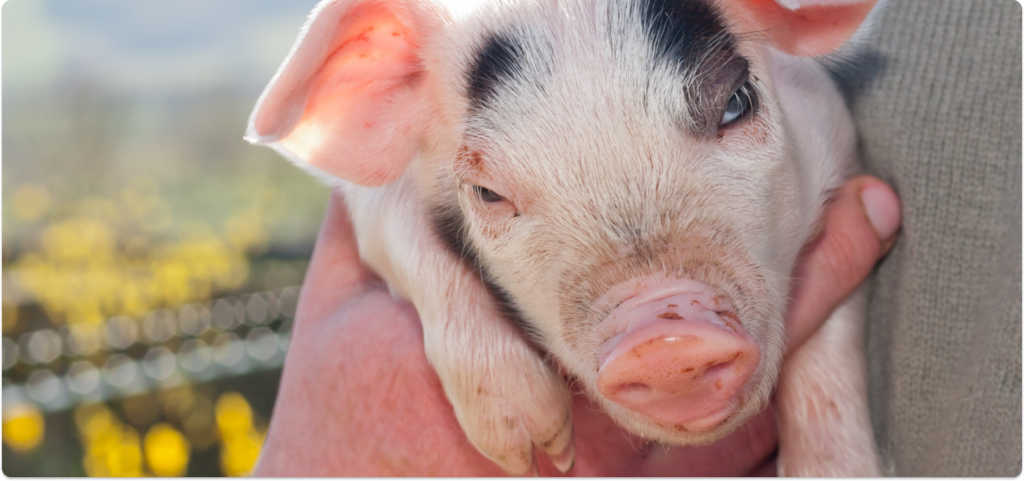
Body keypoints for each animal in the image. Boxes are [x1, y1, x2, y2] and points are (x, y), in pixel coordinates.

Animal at [246, 0, 884, 476]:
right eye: (487, 192)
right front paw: (531, 450)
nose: (666, 337)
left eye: (735, 103)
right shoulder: (370, 200)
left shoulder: (839, 147)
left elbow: (828, 350)